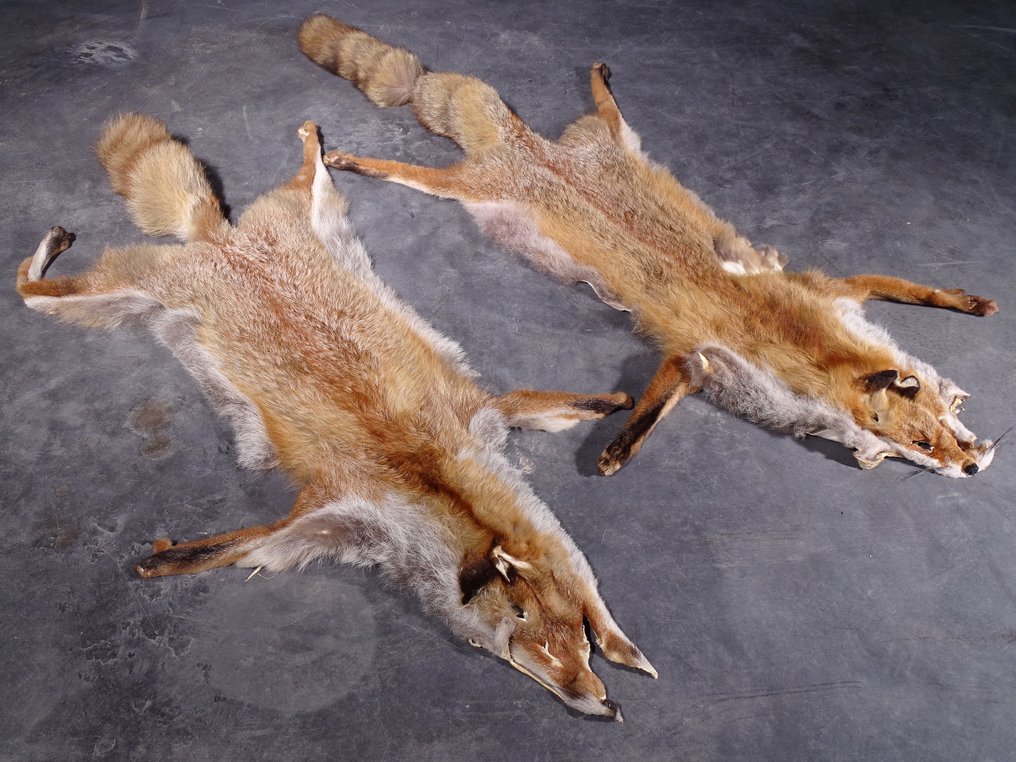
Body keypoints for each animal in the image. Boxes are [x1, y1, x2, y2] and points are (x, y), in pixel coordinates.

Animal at [14, 114, 657, 720]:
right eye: (518, 633)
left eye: (571, 636)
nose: (602, 703)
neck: (426, 468)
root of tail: (218, 238)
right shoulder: (326, 505)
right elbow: (221, 550)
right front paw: (160, 560)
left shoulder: (486, 416)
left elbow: (591, 432)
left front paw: (623, 645)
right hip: (113, 296)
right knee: (25, 287)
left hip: (299, 219)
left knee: (305, 175)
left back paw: (310, 141)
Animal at [298, 14, 999, 479]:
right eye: (921, 443)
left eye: (937, 434)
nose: (974, 466)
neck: (808, 344)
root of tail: (529, 151)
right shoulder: (703, 358)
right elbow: (651, 407)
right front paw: (614, 450)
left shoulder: (838, 293)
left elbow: (914, 288)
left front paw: (968, 302)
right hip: (462, 187)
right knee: (406, 170)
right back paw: (354, 159)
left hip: (617, 143)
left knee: (611, 111)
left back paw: (598, 76)